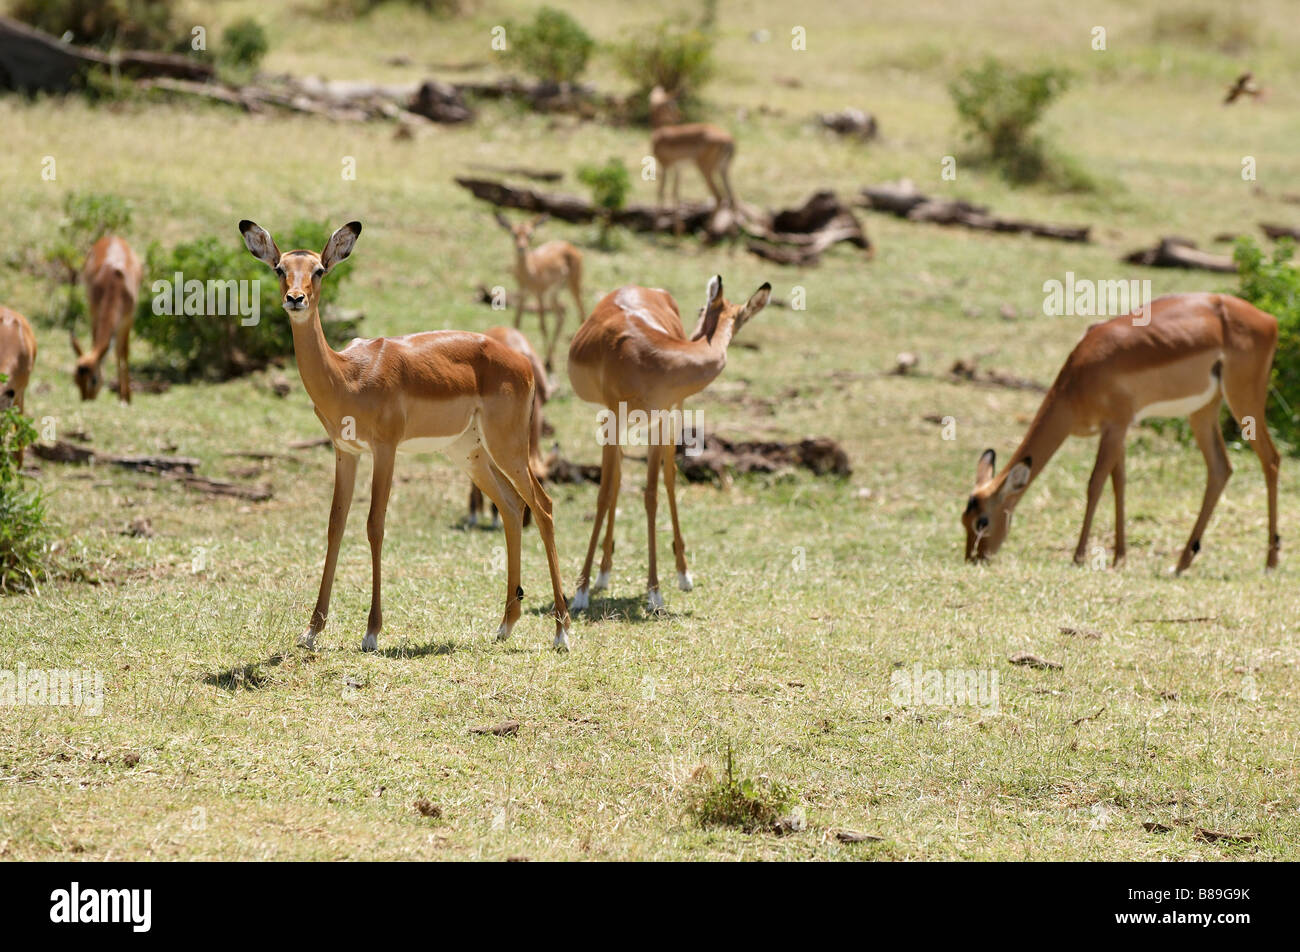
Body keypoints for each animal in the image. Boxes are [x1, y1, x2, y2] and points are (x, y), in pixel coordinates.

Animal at [72, 235, 142, 402]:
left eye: (94, 379)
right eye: (75, 378)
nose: (87, 399)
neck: (114, 286)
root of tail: (112, 237)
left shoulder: (128, 319)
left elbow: (123, 352)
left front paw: (126, 396)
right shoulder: (94, 313)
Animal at [494, 212, 584, 371]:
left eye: (530, 235)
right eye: (513, 234)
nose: (521, 248)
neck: (530, 272)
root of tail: (569, 245)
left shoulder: (539, 295)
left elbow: (543, 326)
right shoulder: (523, 293)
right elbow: (517, 321)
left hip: (573, 285)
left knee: (581, 312)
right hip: (554, 294)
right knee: (561, 317)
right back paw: (548, 360)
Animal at [567, 275, 770, 613]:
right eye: (702, 307)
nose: (694, 332)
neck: (648, 357)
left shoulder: (660, 420)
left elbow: (651, 495)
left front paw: (655, 592)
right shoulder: (613, 418)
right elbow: (605, 493)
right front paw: (580, 592)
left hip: (670, 417)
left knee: (667, 480)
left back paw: (682, 575)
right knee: (616, 481)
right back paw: (602, 575)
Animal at [649, 87, 737, 219]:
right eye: (671, 104)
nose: (679, 115)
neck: (660, 132)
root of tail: (729, 140)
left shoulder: (664, 165)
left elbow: (661, 192)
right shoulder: (678, 169)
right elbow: (675, 194)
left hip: (706, 170)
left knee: (719, 198)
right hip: (723, 170)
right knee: (732, 198)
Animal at [962, 293, 1280, 574]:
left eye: (982, 521)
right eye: (964, 518)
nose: (974, 558)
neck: (1078, 378)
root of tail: (1269, 319)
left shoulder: (1115, 426)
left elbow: (1095, 484)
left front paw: (1078, 557)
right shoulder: (1119, 430)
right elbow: (1120, 484)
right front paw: (1119, 558)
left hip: (1243, 399)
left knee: (1271, 459)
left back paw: (1270, 562)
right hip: (1203, 411)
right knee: (1220, 468)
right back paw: (1181, 563)